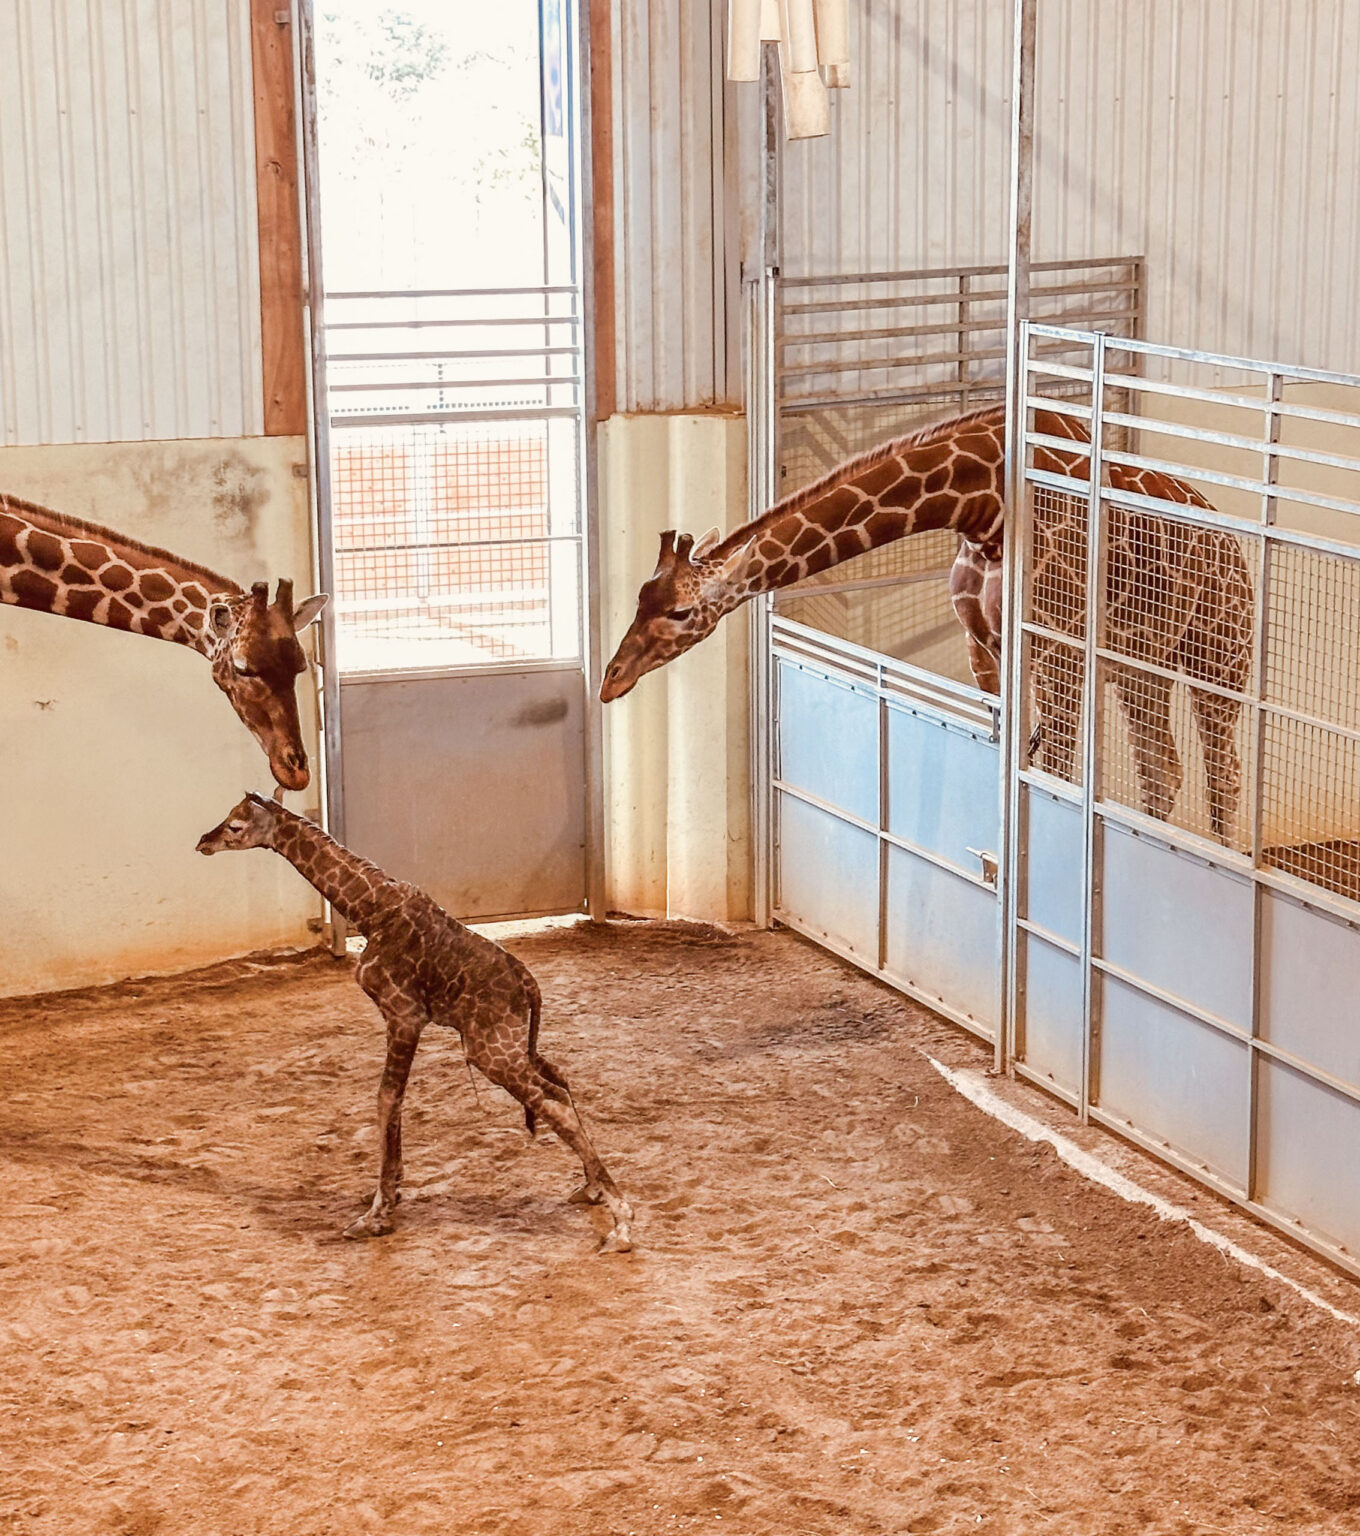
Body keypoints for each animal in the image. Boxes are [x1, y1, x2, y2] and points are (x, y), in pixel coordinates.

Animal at [196, 792, 634, 1251]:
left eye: (235, 826)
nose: (203, 842)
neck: (370, 910)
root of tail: (529, 984)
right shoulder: (405, 1019)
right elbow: (396, 1099)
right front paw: (393, 1192)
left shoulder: (403, 1013)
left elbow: (386, 1098)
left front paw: (376, 1213)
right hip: (513, 1043)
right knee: (560, 1082)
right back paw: (592, 1188)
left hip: (490, 1050)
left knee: (552, 1100)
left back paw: (622, 1225)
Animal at [601, 402, 1255, 842]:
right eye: (638, 597)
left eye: (681, 611)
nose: (611, 681)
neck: (982, 508)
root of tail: (1236, 549)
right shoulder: (982, 646)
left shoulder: (1058, 652)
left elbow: (1056, 777)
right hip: (1143, 667)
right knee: (1163, 773)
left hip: (1219, 660)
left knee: (1224, 781)